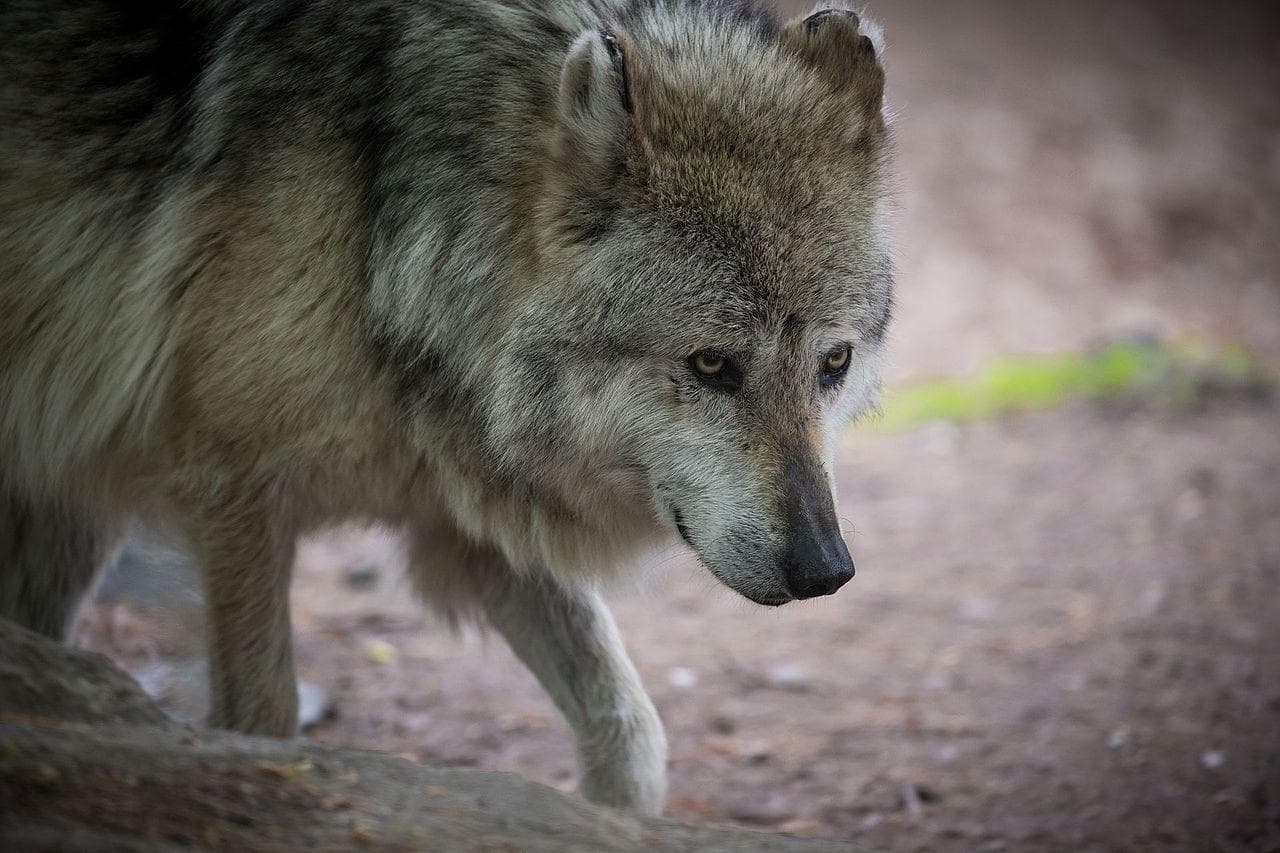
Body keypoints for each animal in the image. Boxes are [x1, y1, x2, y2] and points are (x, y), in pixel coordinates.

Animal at [0, 0, 891, 814]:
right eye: (712, 363)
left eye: (834, 362)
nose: (826, 570)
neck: (380, 238)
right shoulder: (234, 495)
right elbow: (262, 721)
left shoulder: (478, 516)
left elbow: (631, 733)